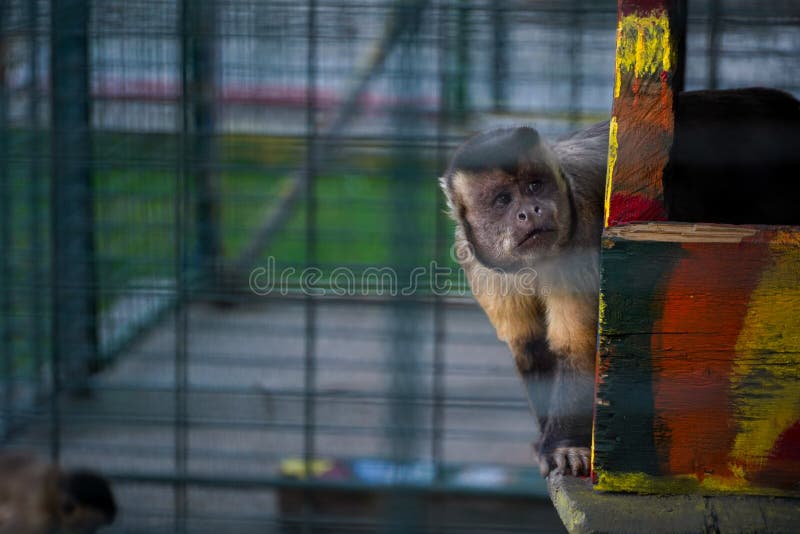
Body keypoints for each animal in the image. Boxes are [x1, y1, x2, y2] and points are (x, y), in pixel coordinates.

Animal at [440, 87, 800, 477]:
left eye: (534, 186)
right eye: (503, 200)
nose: (530, 210)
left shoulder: (582, 232)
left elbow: (576, 346)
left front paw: (565, 445)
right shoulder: (477, 264)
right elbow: (531, 348)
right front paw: (546, 444)